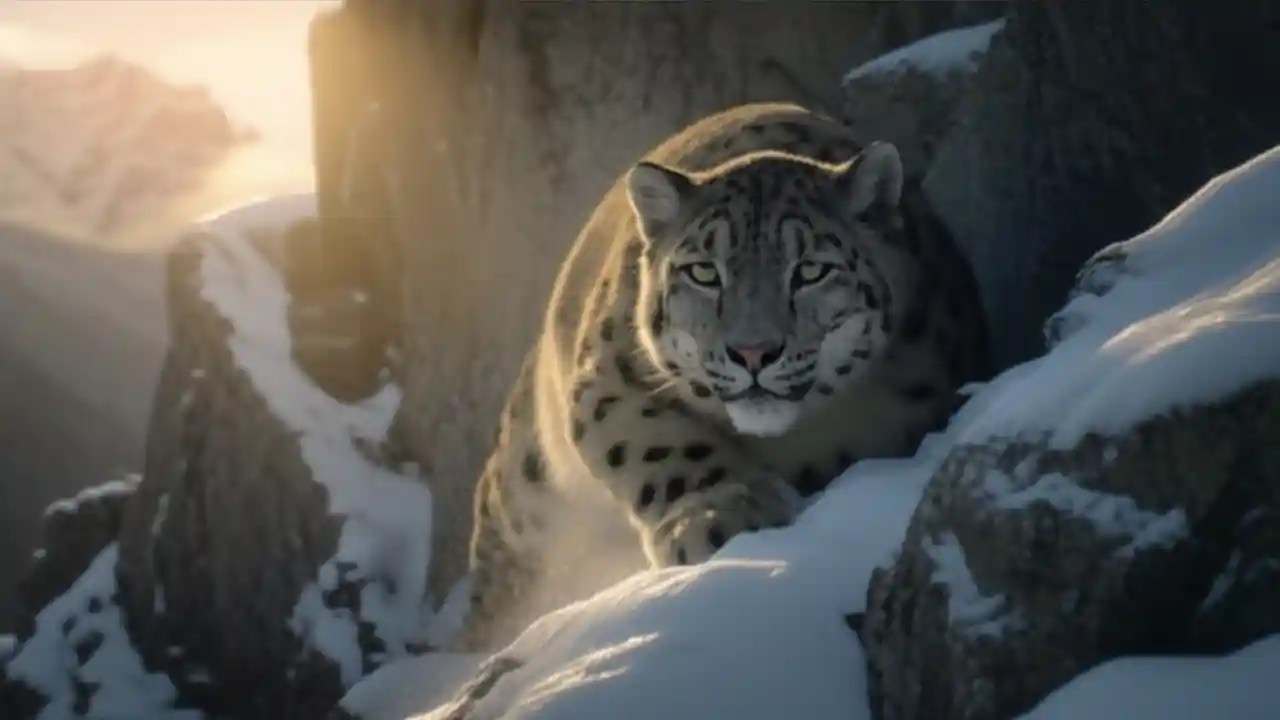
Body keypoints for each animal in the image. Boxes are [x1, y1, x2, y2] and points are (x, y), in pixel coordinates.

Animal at [455, 102, 990, 650]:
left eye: (811, 270)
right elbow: (654, 444)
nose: (753, 352)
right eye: (704, 272)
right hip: (523, 500)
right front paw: (722, 519)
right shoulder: (609, 379)